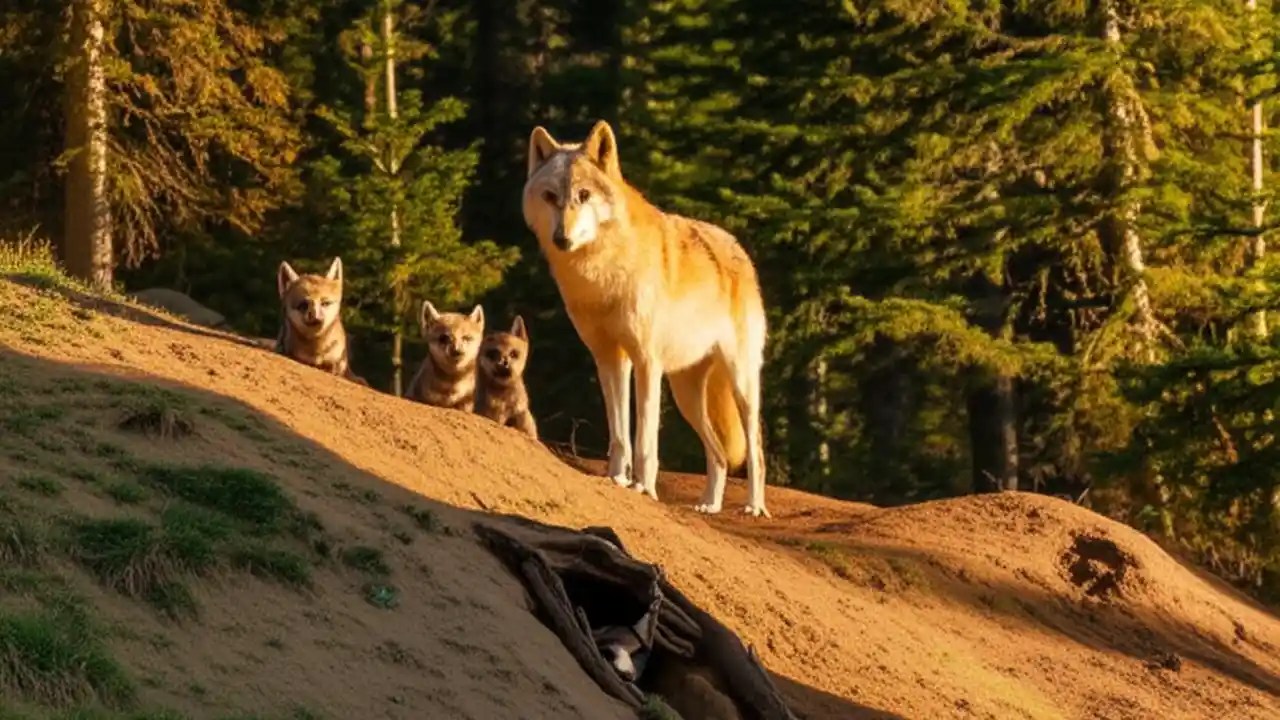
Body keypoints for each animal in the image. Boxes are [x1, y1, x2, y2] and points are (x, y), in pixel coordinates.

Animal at [521, 120, 769, 517]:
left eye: (584, 195)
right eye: (550, 197)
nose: (561, 238)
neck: (601, 274)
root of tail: (737, 247)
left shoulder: (646, 362)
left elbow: (644, 440)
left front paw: (643, 487)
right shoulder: (609, 359)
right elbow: (620, 435)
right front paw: (615, 479)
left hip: (740, 382)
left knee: (755, 449)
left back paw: (753, 507)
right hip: (687, 397)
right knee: (717, 453)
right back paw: (708, 505)